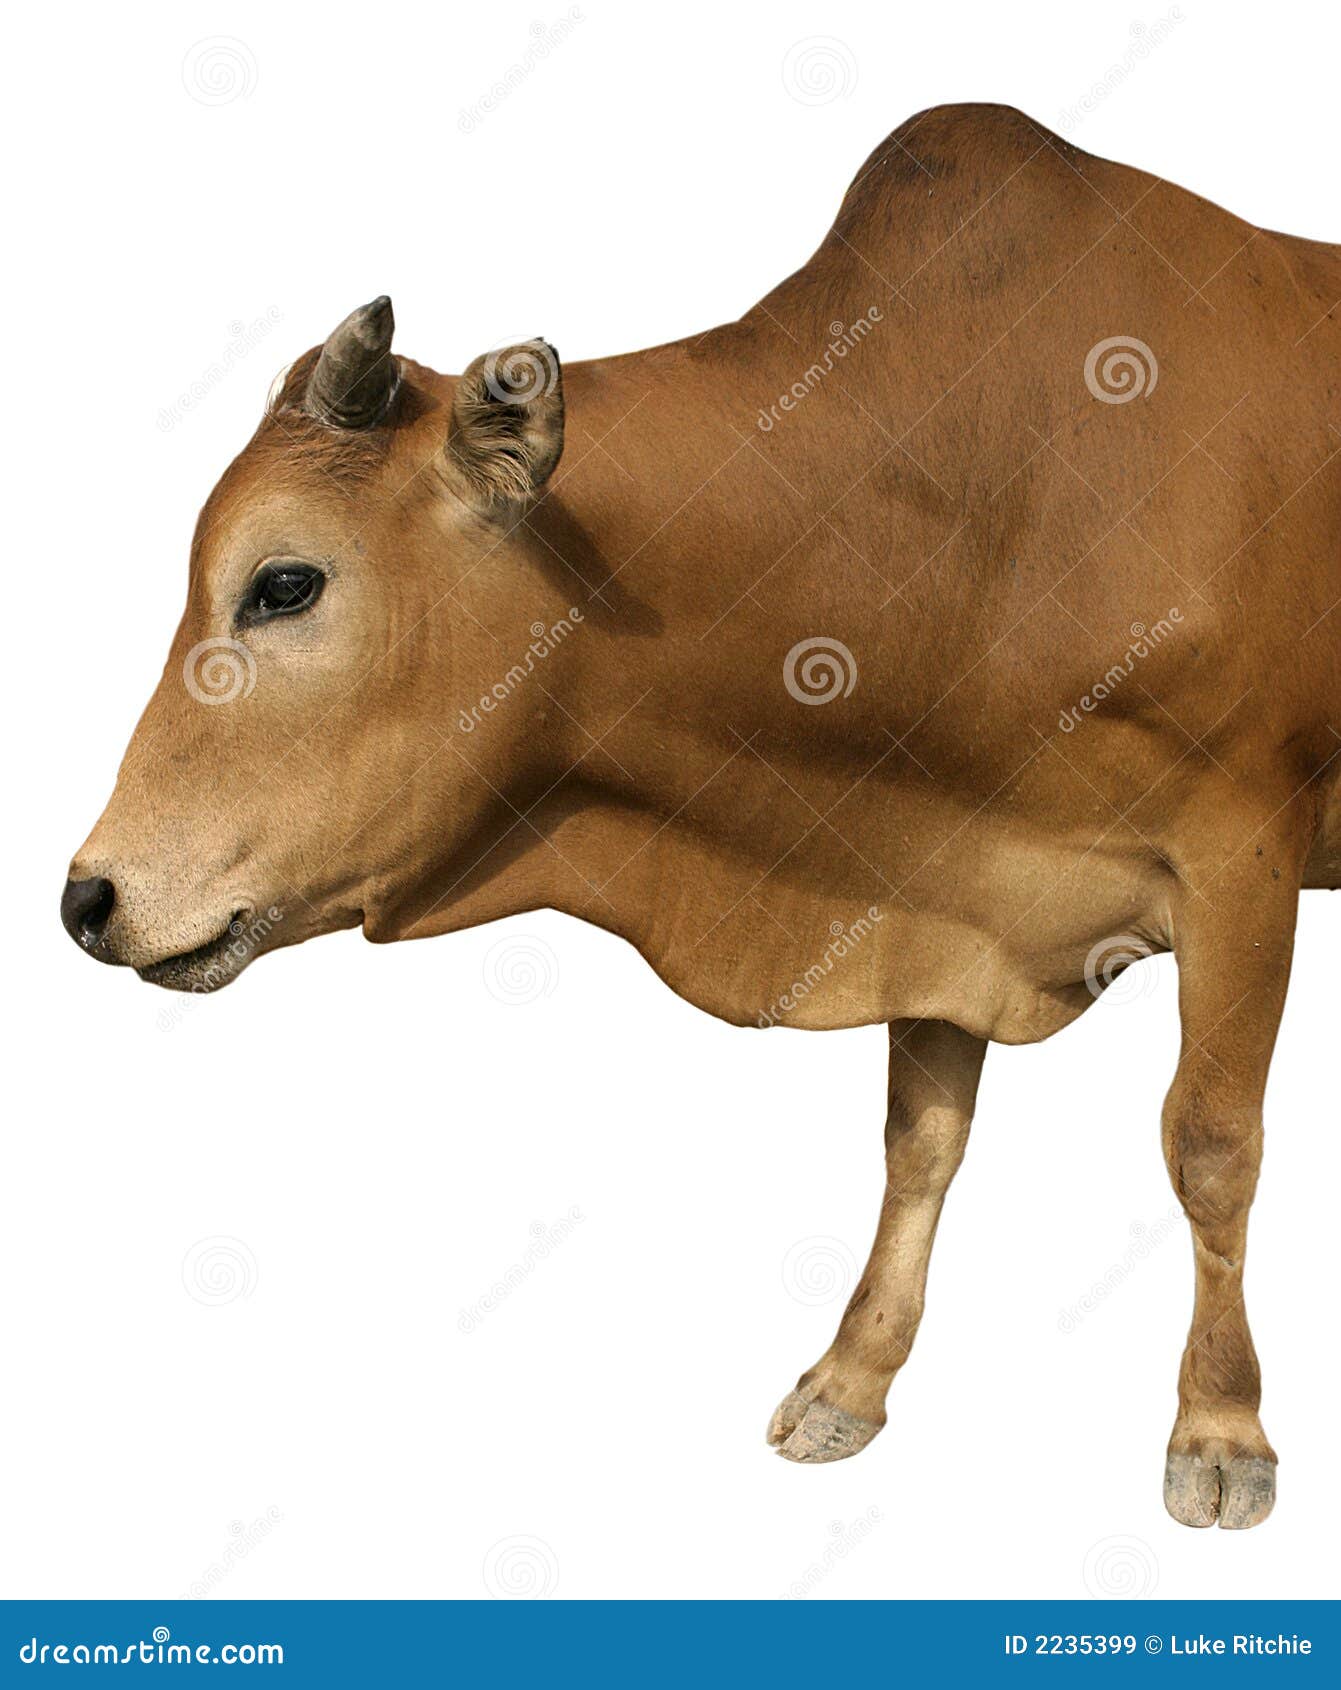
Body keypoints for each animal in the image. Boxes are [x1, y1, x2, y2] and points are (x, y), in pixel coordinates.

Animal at [62, 104, 1339, 1529]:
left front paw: (1221, 1431)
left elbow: (1211, 1139)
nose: (87, 897)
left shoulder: (1242, 850)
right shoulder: (936, 894)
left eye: (284, 582)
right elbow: (921, 1141)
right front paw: (850, 1380)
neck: (980, 509)